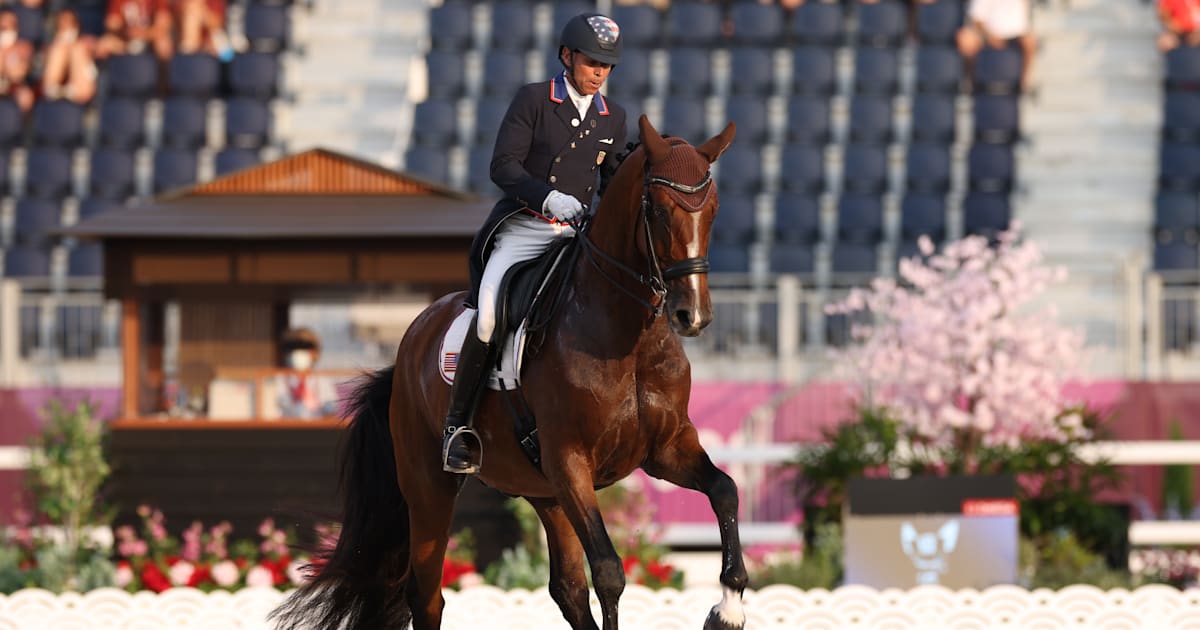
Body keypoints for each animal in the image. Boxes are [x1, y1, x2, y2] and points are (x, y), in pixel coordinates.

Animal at [271, 115, 746, 630]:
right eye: (657, 211)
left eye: (713, 210)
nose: (691, 316)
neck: (628, 339)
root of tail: (413, 335)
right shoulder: (570, 461)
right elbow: (609, 571)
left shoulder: (666, 449)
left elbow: (725, 490)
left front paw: (729, 608)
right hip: (430, 487)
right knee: (427, 595)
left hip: (544, 491)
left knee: (567, 589)